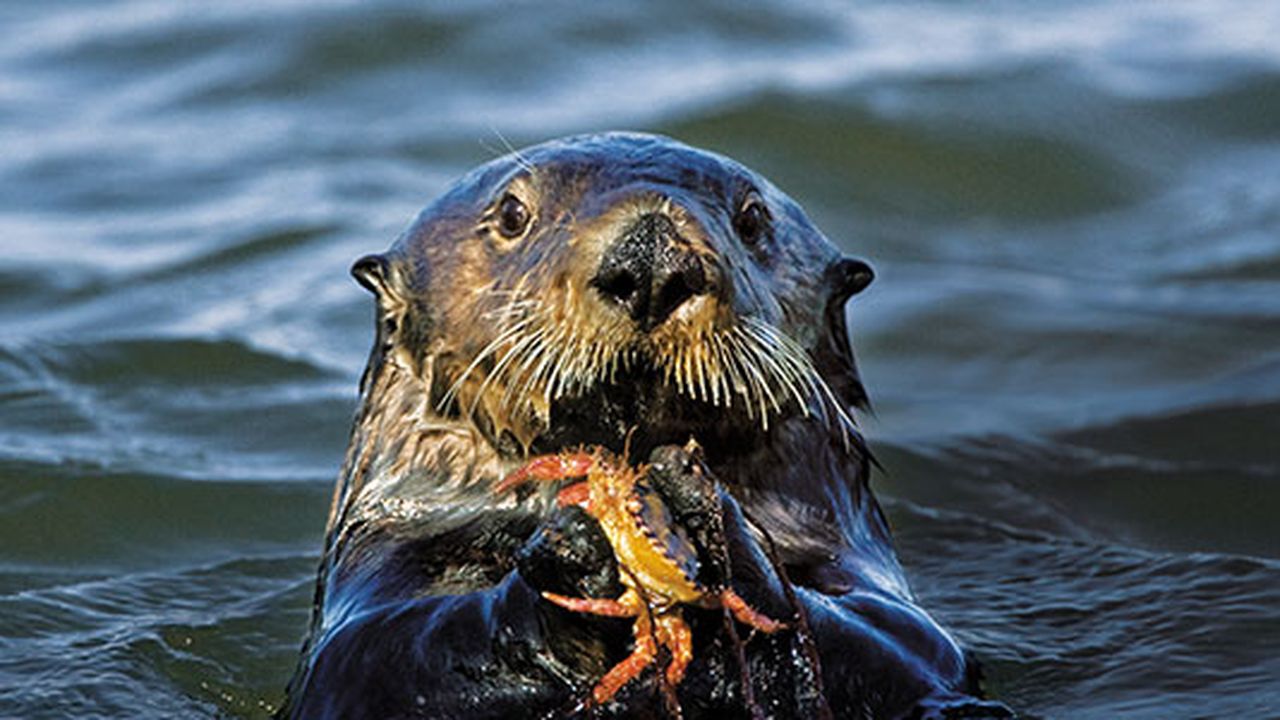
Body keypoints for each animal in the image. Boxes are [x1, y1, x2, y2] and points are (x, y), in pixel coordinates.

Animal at [281, 133, 1012, 719]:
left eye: (753, 219)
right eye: (512, 214)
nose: (650, 260)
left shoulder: (877, 599)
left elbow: (891, 645)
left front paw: (713, 522)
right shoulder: (381, 578)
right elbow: (385, 654)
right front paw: (575, 553)